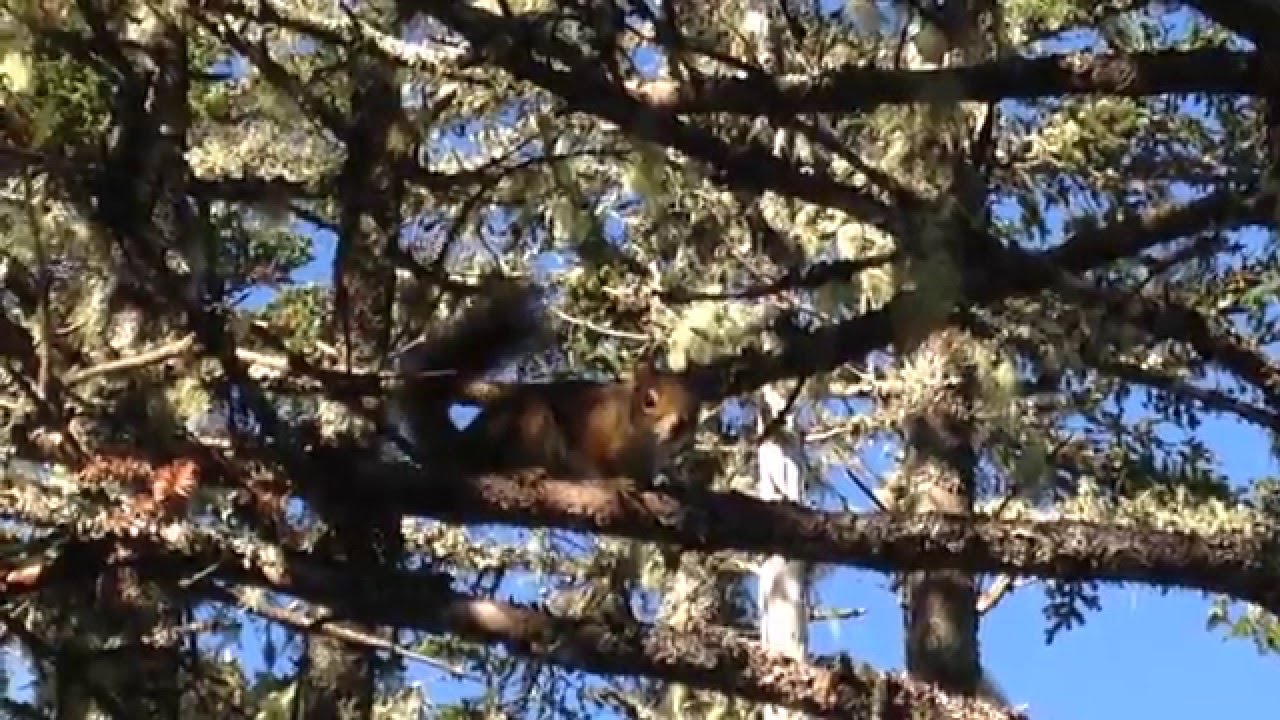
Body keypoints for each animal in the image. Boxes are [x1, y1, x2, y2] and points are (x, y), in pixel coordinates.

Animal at [393, 280, 702, 485]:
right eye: (649, 400)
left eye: (691, 417)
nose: (675, 427)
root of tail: (465, 443)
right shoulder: (595, 428)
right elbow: (596, 462)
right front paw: (615, 484)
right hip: (529, 424)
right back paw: (519, 471)